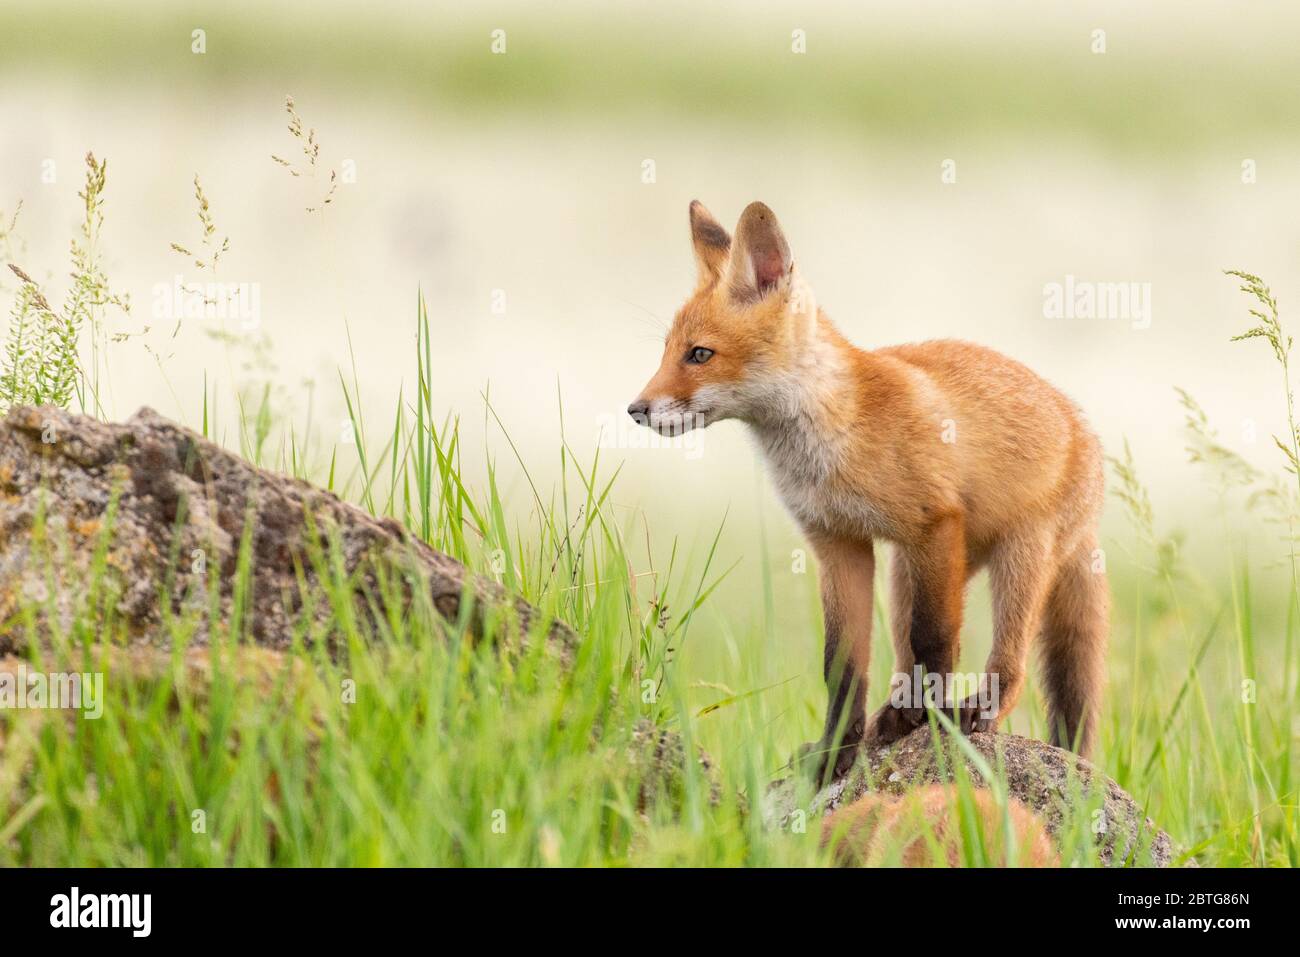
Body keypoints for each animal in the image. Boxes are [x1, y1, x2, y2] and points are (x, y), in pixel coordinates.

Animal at [628, 200, 1109, 780]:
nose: (634, 410)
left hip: (1017, 560)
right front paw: (835, 749)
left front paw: (935, 721)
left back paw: (977, 711)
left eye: (699, 355)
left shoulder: (933, 523)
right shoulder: (838, 544)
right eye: (666, 353)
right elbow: (843, 664)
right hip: (913, 570)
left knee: (1008, 662)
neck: (833, 440)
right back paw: (897, 714)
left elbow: (934, 639)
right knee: (904, 658)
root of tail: (1085, 431)